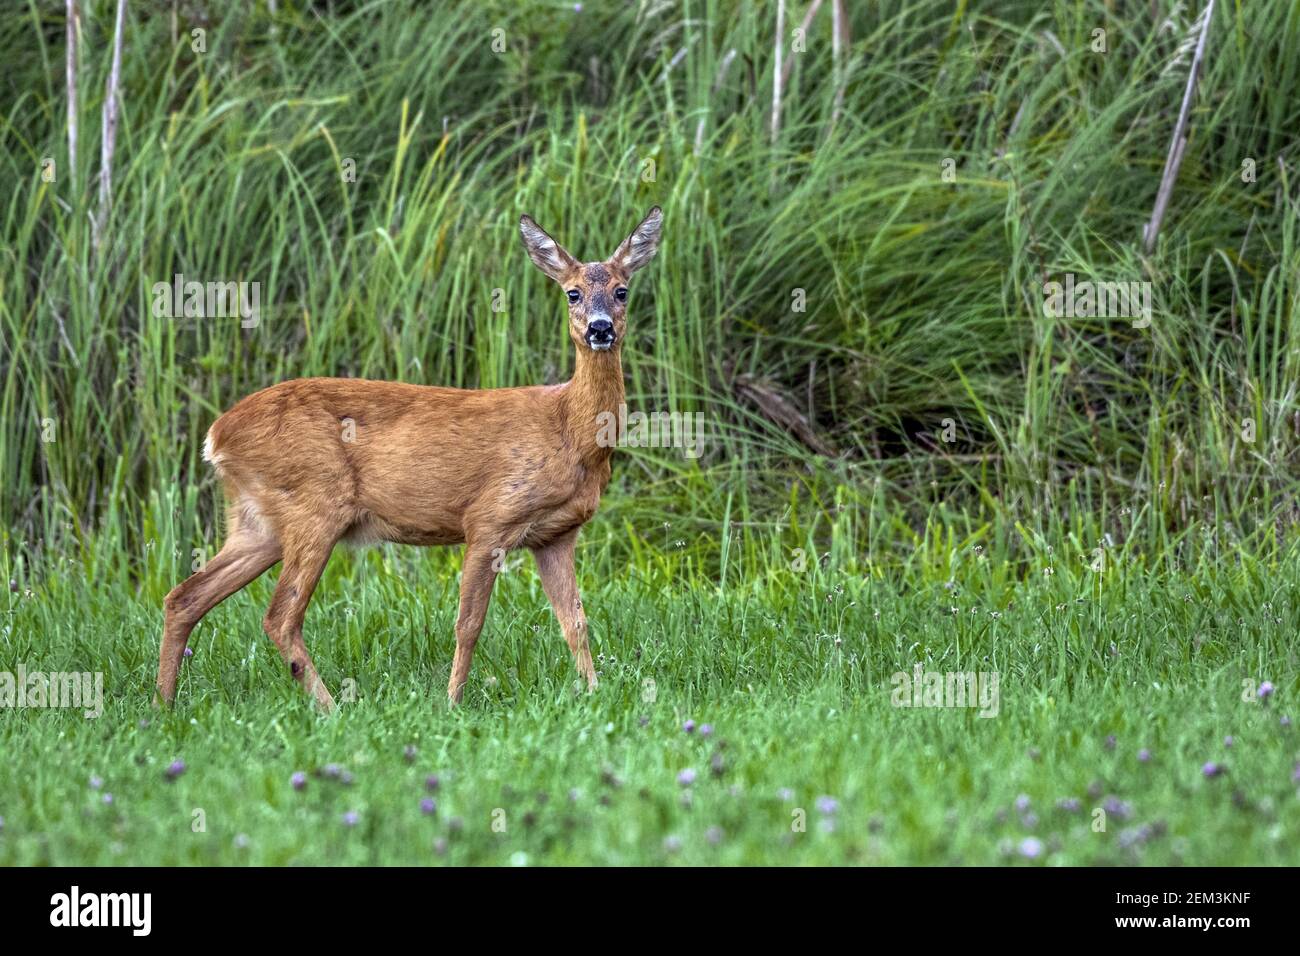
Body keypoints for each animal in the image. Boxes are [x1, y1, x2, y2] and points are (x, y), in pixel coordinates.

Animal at [156, 207, 663, 712]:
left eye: (621, 290)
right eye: (572, 292)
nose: (600, 328)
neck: (568, 432)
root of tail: (217, 435)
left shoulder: (556, 535)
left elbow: (575, 622)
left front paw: (595, 694)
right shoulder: (490, 518)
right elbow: (468, 624)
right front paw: (453, 702)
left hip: (257, 521)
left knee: (184, 596)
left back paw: (163, 703)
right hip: (314, 503)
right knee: (279, 616)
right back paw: (331, 707)